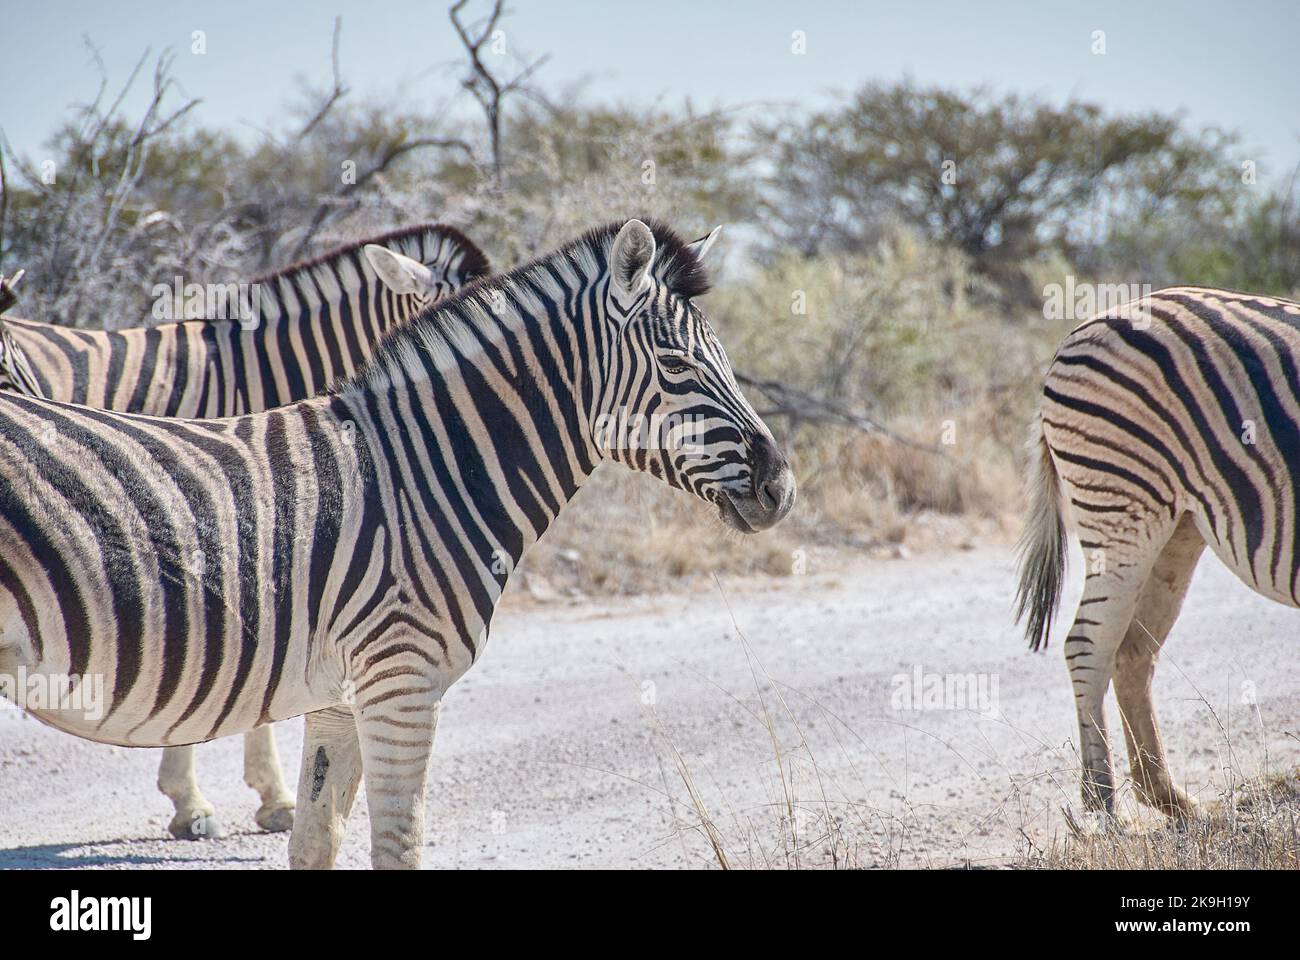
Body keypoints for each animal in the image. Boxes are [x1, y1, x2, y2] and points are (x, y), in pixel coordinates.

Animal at [1016, 286, 1300, 818]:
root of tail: (1077, 332)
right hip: (1122, 511)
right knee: (1088, 645)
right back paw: (1105, 806)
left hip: (1177, 527)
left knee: (1131, 650)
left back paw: (1169, 799)